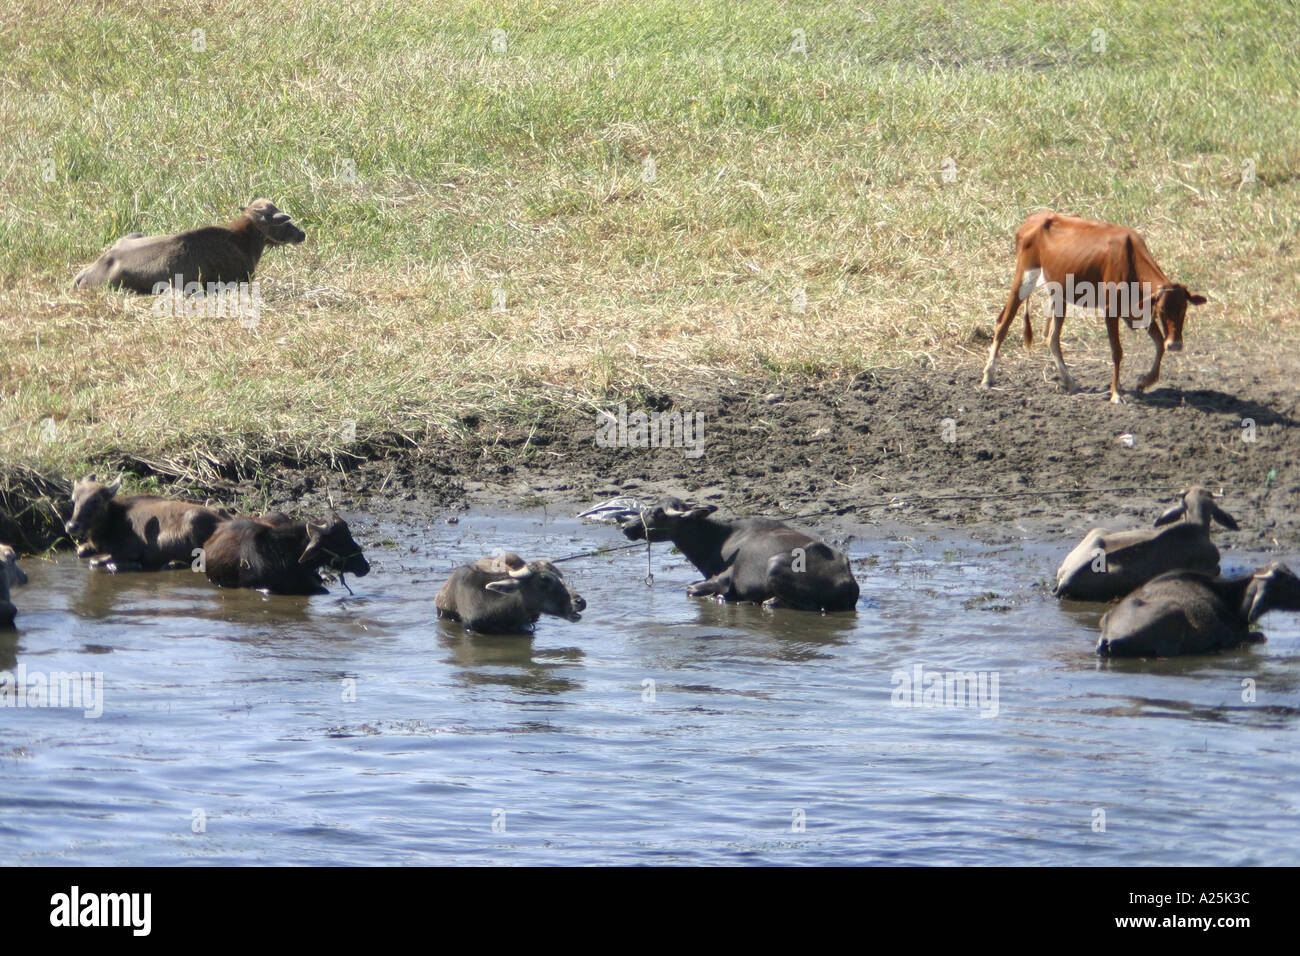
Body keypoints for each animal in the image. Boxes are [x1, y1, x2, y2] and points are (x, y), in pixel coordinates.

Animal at [64, 475, 227, 572]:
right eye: (73, 498)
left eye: (96, 500)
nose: (72, 526)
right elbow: (80, 550)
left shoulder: (132, 549)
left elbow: (95, 561)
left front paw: (124, 564)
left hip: (194, 519)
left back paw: (173, 563)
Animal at [588, 496, 859, 612]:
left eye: (658, 513)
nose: (627, 527)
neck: (715, 543)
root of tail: (848, 583)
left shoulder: (723, 578)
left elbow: (693, 589)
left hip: (775, 566)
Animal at [979, 211, 1207, 403]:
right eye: (1161, 310)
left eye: (1184, 310)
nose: (1175, 344)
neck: (1129, 258)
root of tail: (1033, 219)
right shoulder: (1111, 309)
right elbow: (1117, 351)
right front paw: (1115, 394)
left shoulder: (1134, 310)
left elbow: (1159, 344)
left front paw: (1144, 382)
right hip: (1024, 277)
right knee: (1003, 323)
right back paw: (987, 377)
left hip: (1059, 292)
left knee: (1051, 337)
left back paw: (1070, 382)